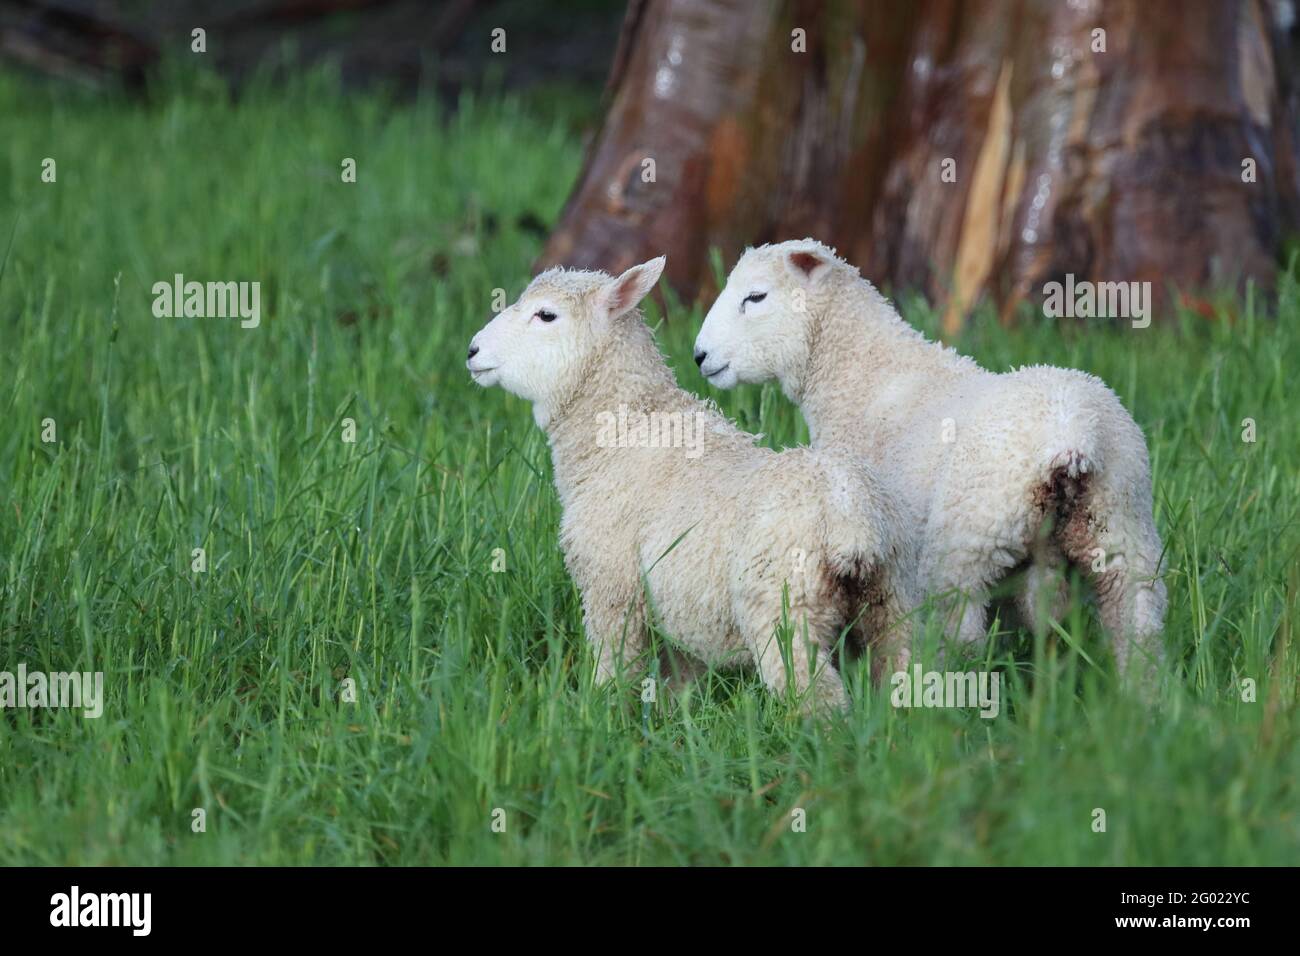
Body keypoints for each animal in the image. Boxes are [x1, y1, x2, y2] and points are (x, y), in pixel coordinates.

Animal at [466, 256, 917, 712]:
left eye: (546, 315)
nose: (472, 350)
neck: (624, 426)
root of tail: (850, 515)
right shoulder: (675, 612)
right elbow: (678, 683)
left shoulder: (612, 586)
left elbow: (613, 666)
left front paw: (598, 711)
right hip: (889, 603)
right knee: (899, 670)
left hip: (784, 609)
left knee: (817, 697)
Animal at [693, 239, 1168, 686]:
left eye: (756, 296)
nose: (699, 356)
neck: (865, 377)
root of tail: (1073, 436)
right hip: (1123, 525)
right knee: (1137, 624)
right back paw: (1139, 699)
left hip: (966, 541)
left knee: (963, 633)